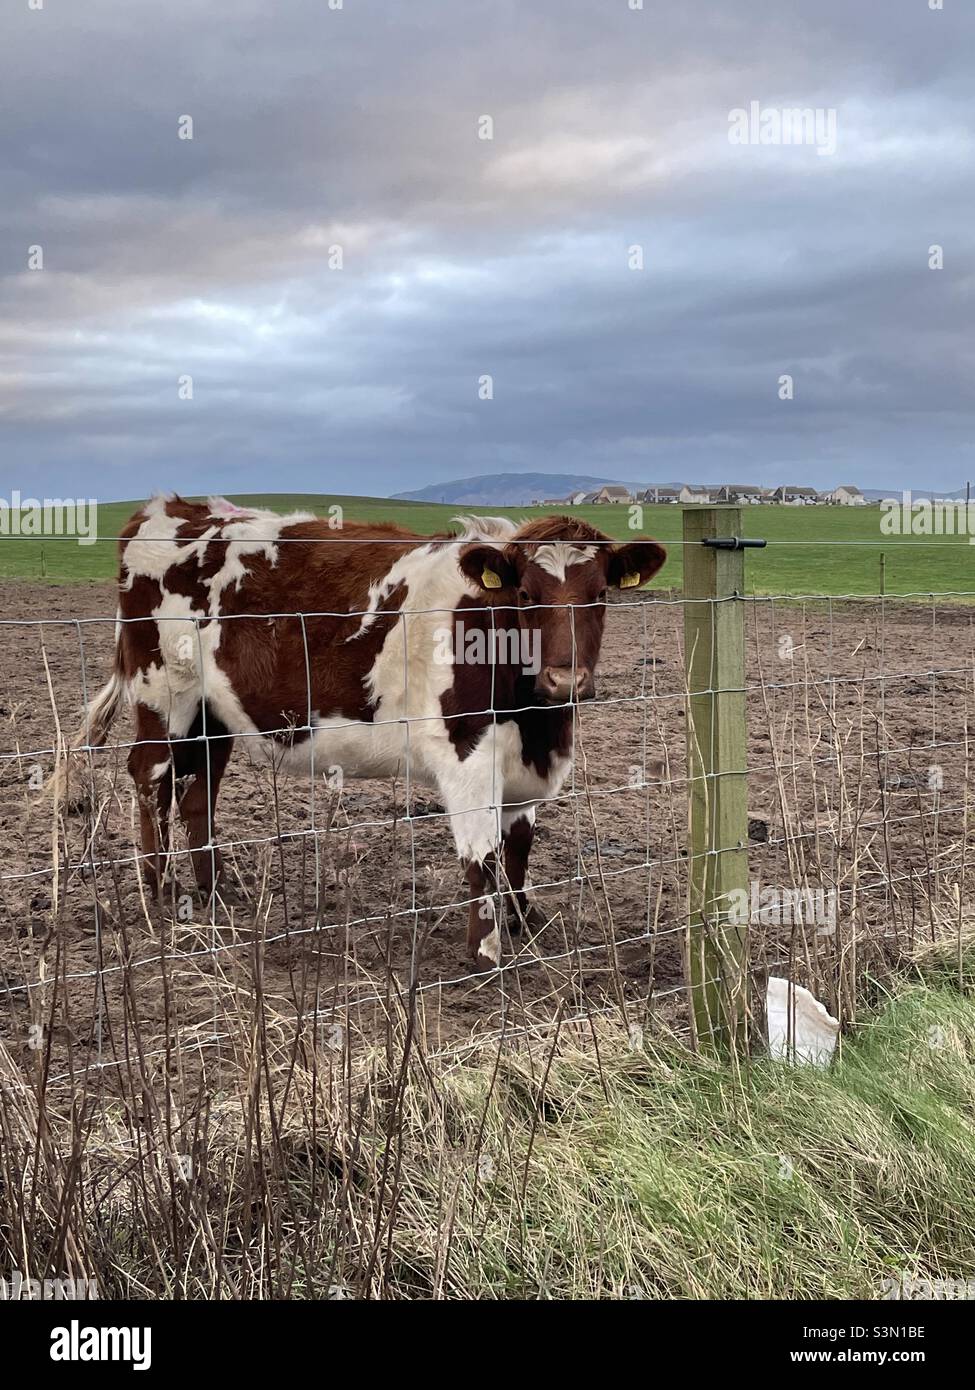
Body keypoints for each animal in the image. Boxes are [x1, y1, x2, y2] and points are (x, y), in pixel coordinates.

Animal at [66, 495, 666, 969]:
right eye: (525, 596)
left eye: (600, 595)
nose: (566, 679)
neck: (539, 722)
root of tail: (172, 507)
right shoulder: (466, 754)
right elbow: (482, 860)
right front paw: (486, 952)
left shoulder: (523, 764)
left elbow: (517, 848)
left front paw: (522, 922)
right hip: (163, 691)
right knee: (150, 775)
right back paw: (159, 891)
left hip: (213, 713)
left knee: (197, 789)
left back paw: (213, 891)